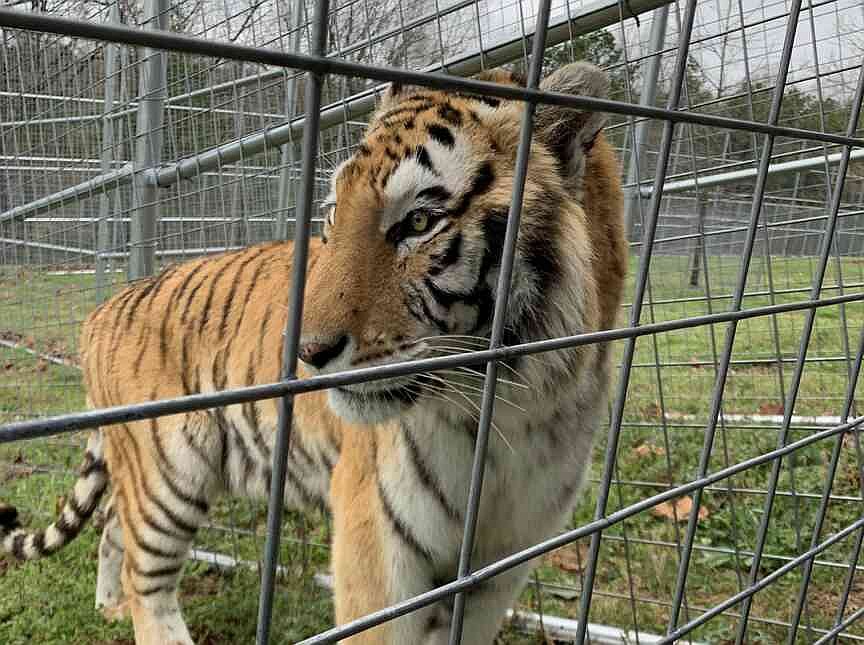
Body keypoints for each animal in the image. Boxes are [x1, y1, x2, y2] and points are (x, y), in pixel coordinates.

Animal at [0, 61, 625, 645]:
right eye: (331, 217)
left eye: (419, 221)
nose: (304, 350)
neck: (520, 410)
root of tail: (103, 307)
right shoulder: (377, 545)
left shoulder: (500, 562)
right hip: (167, 470)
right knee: (143, 571)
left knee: (112, 522)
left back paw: (107, 608)